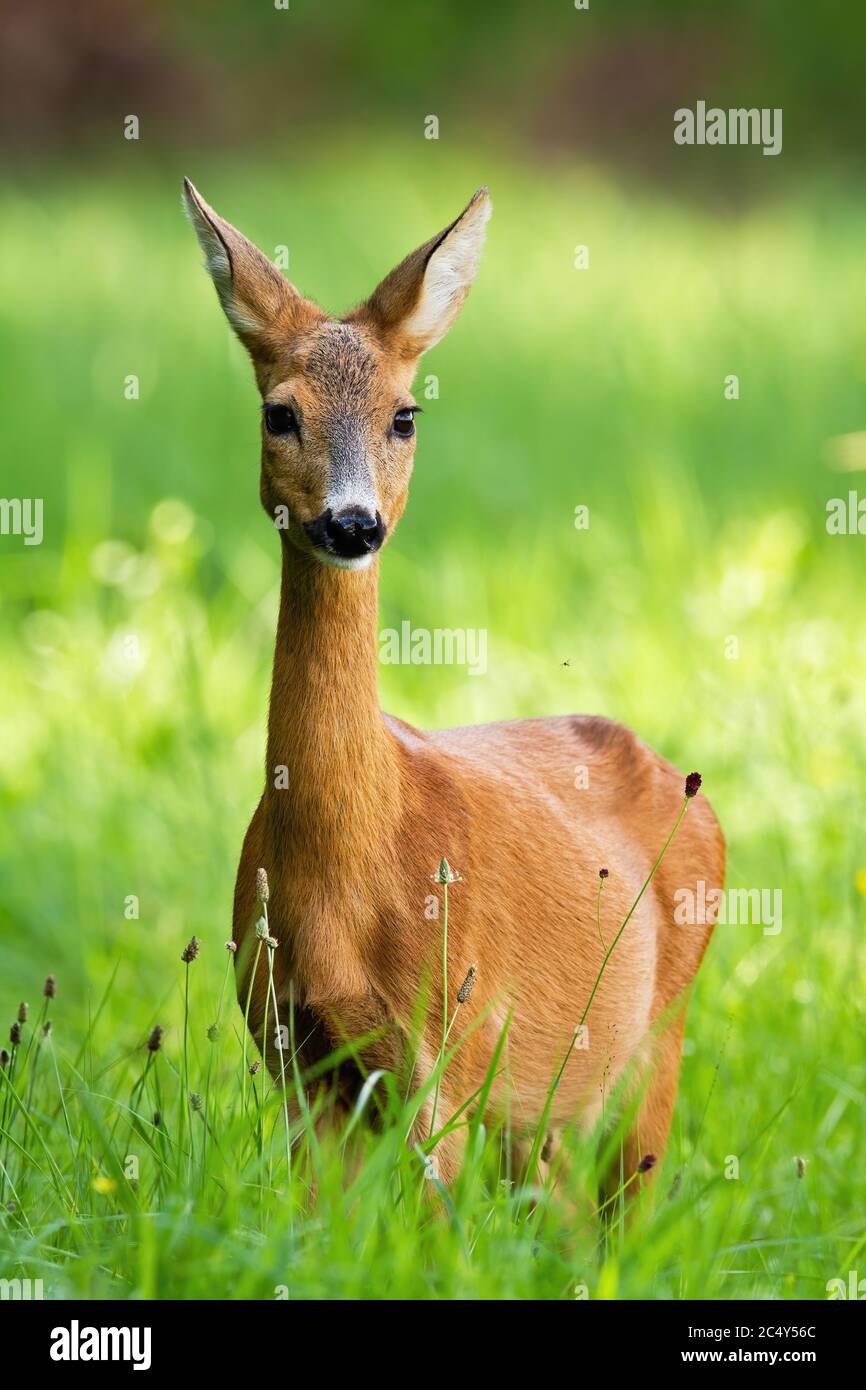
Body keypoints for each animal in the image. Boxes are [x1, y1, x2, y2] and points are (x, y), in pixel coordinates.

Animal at [183, 179, 725, 1202]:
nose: (352, 523)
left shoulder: (450, 1054)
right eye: (279, 413)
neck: (351, 876)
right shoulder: (297, 1058)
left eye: (406, 415)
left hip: (659, 1040)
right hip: (540, 1114)